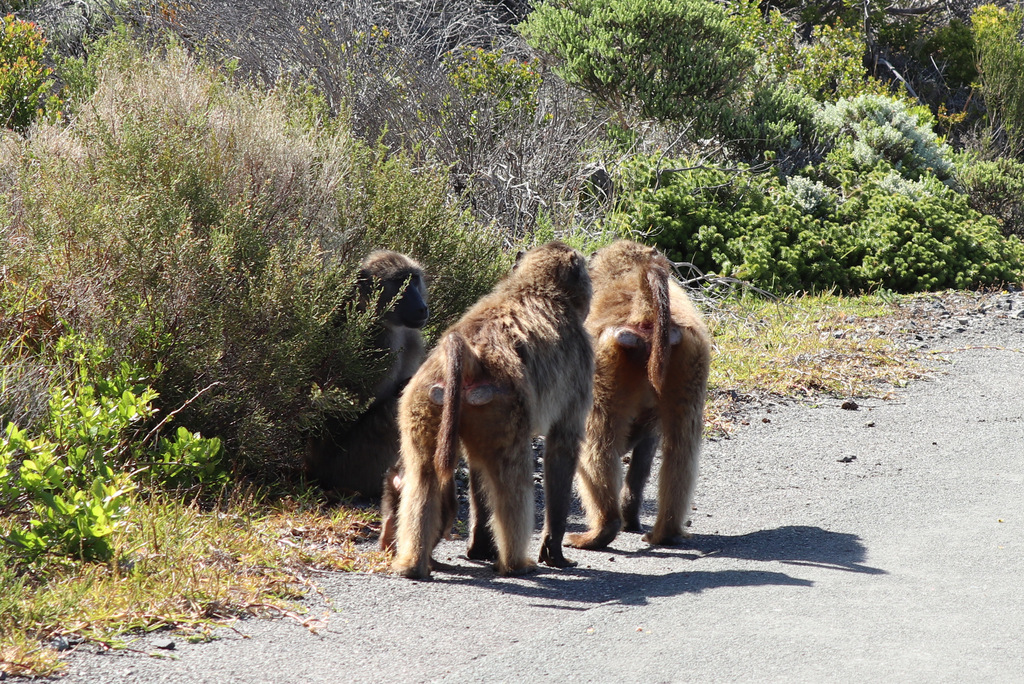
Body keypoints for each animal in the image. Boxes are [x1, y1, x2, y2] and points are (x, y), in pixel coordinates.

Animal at [390, 241, 594, 579]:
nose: (591, 289)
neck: (537, 288)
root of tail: (468, 351)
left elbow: (475, 468)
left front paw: (480, 549)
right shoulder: (581, 359)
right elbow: (561, 448)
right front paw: (554, 552)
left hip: (427, 400)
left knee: (424, 474)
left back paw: (413, 564)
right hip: (502, 405)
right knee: (512, 477)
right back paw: (515, 564)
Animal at [566, 239, 711, 550]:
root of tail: (644, 311)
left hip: (604, 359)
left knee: (598, 443)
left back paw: (601, 531)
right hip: (689, 354)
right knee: (681, 448)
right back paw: (664, 532)